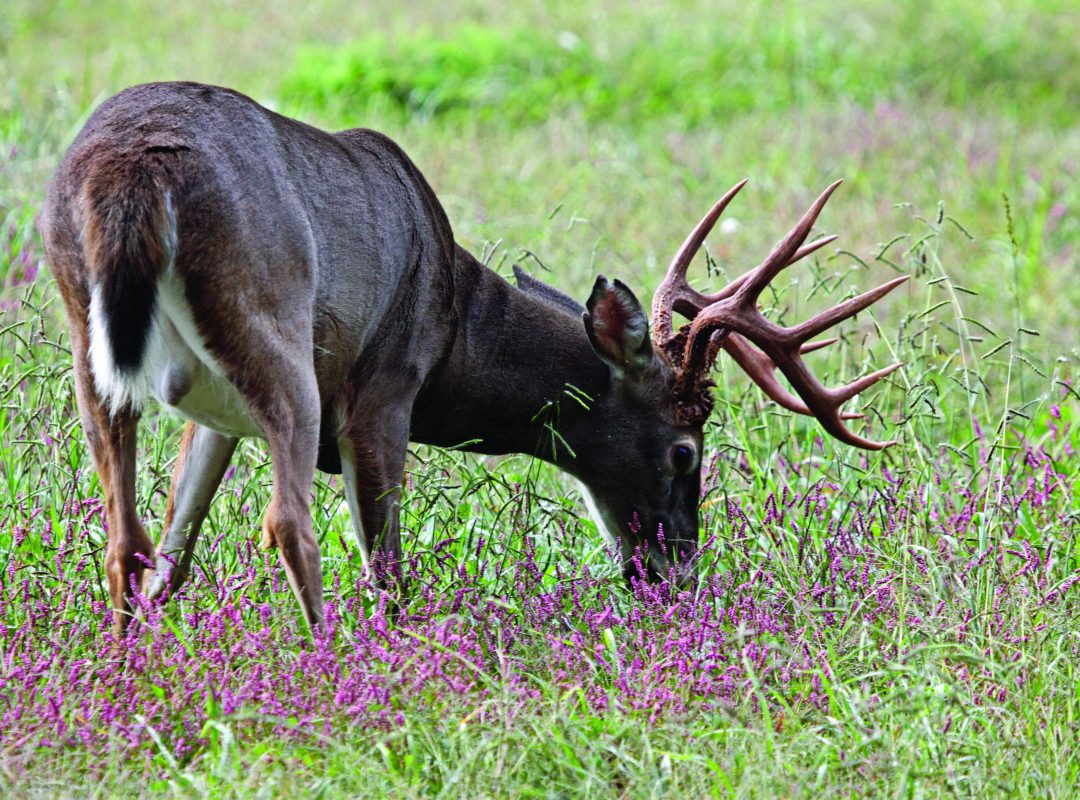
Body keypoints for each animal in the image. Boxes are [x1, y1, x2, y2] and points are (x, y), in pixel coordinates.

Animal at [42, 82, 907, 637]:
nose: (675, 574)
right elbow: (386, 566)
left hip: (94, 347)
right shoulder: (385, 386)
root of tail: (133, 171)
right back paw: (328, 662)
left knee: (125, 536)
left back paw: (122, 668)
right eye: (684, 449)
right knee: (288, 522)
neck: (457, 327)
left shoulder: (217, 412)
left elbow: (175, 554)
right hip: (277, 325)